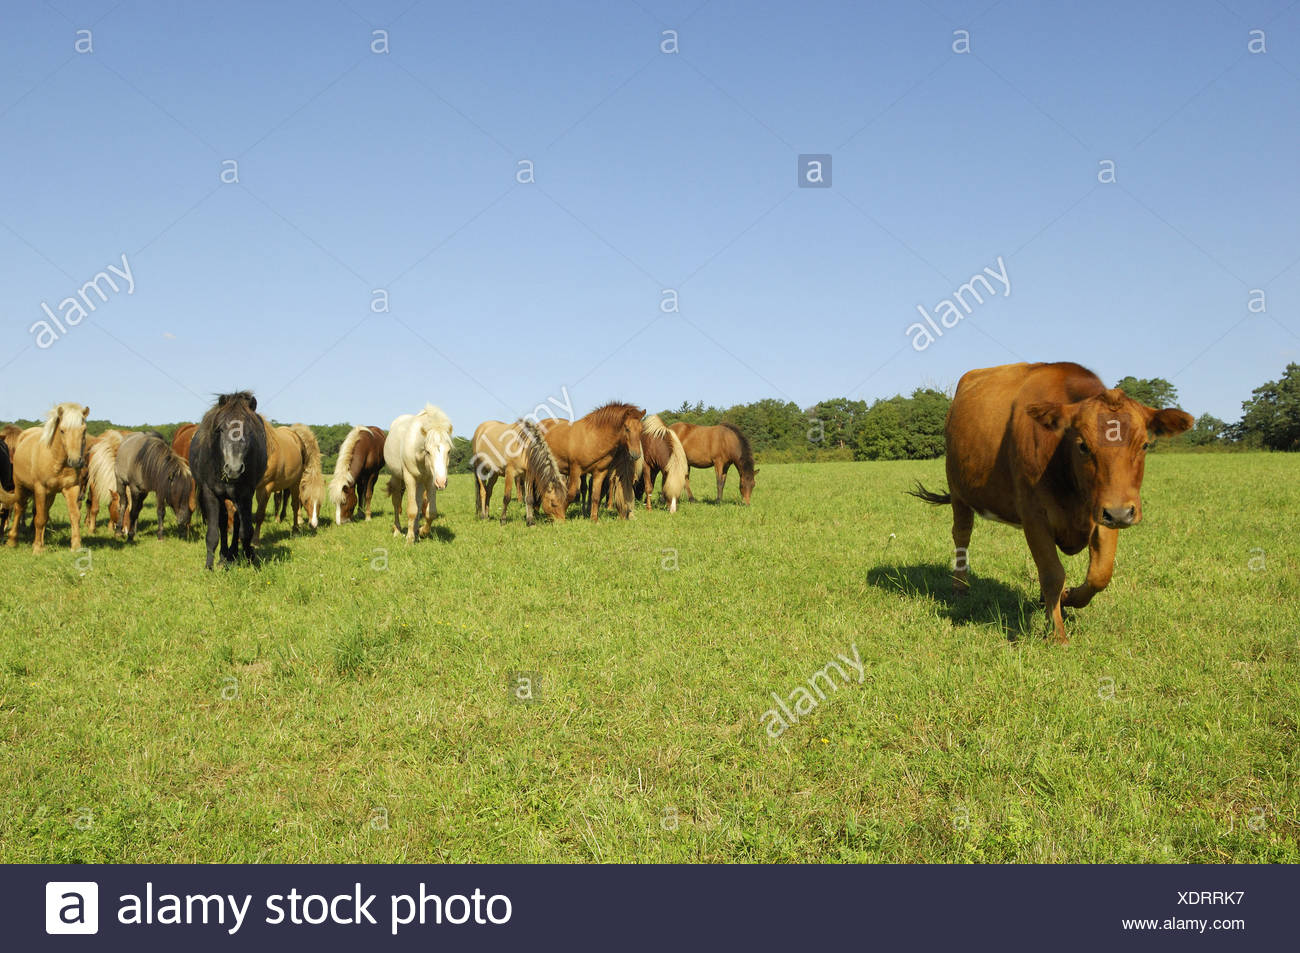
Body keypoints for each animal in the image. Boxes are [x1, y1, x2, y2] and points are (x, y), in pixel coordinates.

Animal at [910, 362, 1193, 643]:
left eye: (1144, 445)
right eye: (1083, 446)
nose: (1121, 513)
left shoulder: (1103, 513)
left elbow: (1099, 574)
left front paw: (1067, 599)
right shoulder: (1035, 515)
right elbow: (1052, 573)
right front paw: (1057, 633)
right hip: (959, 492)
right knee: (962, 535)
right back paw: (960, 585)